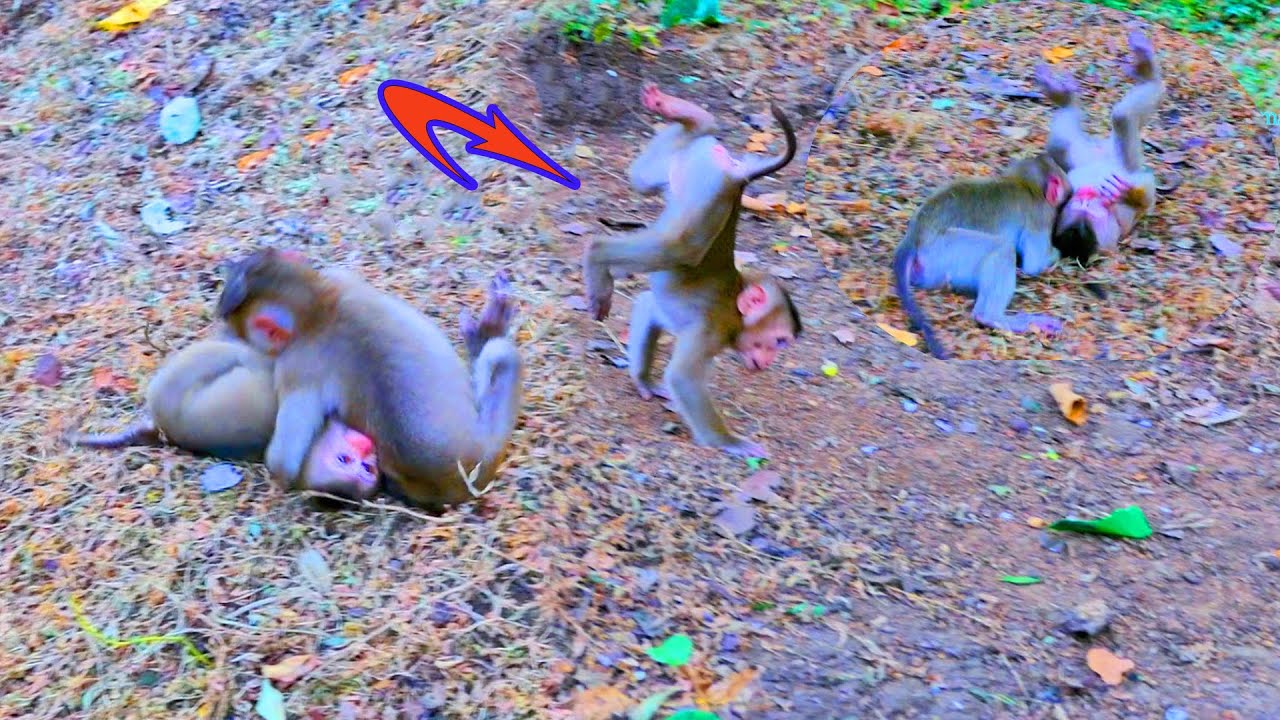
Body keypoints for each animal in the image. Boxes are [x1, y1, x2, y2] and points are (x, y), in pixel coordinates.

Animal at [581, 83, 801, 459]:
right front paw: (731, 442)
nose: (771, 359)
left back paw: (690, 117)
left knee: (641, 180)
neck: (737, 311)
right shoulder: (714, 329)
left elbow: (648, 307)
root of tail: (736, 177)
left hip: (689, 170)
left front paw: (643, 380)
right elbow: (683, 378)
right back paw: (598, 258)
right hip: (711, 191)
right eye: (779, 341)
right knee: (681, 247)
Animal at [892, 152, 1072, 359]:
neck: (1024, 182)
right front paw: (1057, 253)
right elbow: (1034, 265)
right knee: (1002, 247)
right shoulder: (1041, 214)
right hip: (946, 252)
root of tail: (914, 236)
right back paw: (993, 317)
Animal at [1033, 29, 1164, 261]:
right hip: (1092, 152)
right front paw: (1128, 194)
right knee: (1122, 117)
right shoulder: (1121, 219)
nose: (1086, 195)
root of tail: (1100, 147)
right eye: (1083, 206)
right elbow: (1147, 199)